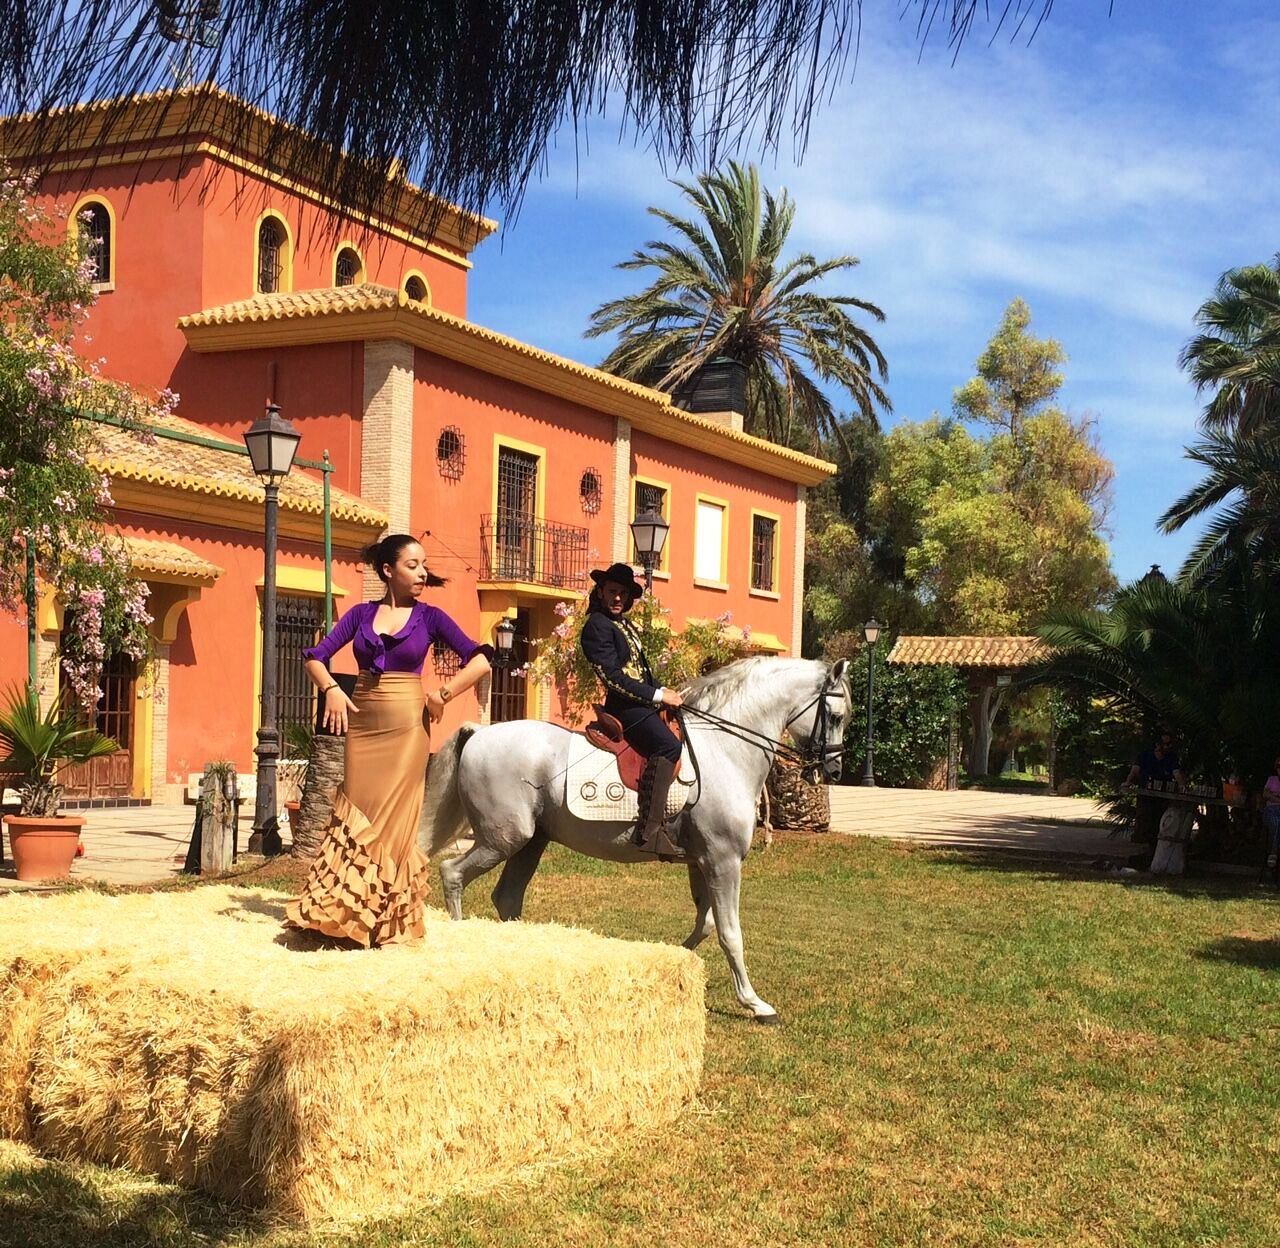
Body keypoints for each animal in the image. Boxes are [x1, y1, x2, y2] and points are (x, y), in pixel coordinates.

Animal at [422, 656, 853, 1022]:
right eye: (835, 715)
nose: (832, 770)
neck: (725, 751)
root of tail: (481, 732)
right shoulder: (723, 860)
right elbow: (730, 933)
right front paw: (755, 1003)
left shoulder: (701, 862)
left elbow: (706, 924)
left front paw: (674, 965)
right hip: (503, 838)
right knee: (452, 874)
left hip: (531, 842)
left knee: (507, 897)